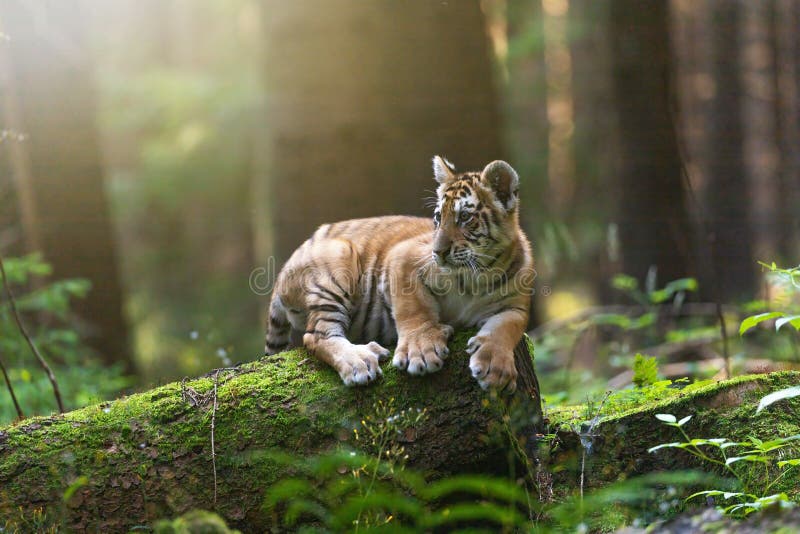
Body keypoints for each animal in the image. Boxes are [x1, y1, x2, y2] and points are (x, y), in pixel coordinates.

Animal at [264, 156, 534, 392]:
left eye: (465, 217)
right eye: (438, 217)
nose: (438, 251)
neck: (477, 275)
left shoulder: (514, 307)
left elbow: (504, 329)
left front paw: (495, 369)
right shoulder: (403, 257)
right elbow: (413, 309)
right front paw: (422, 352)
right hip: (338, 259)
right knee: (316, 336)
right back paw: (359, 361)